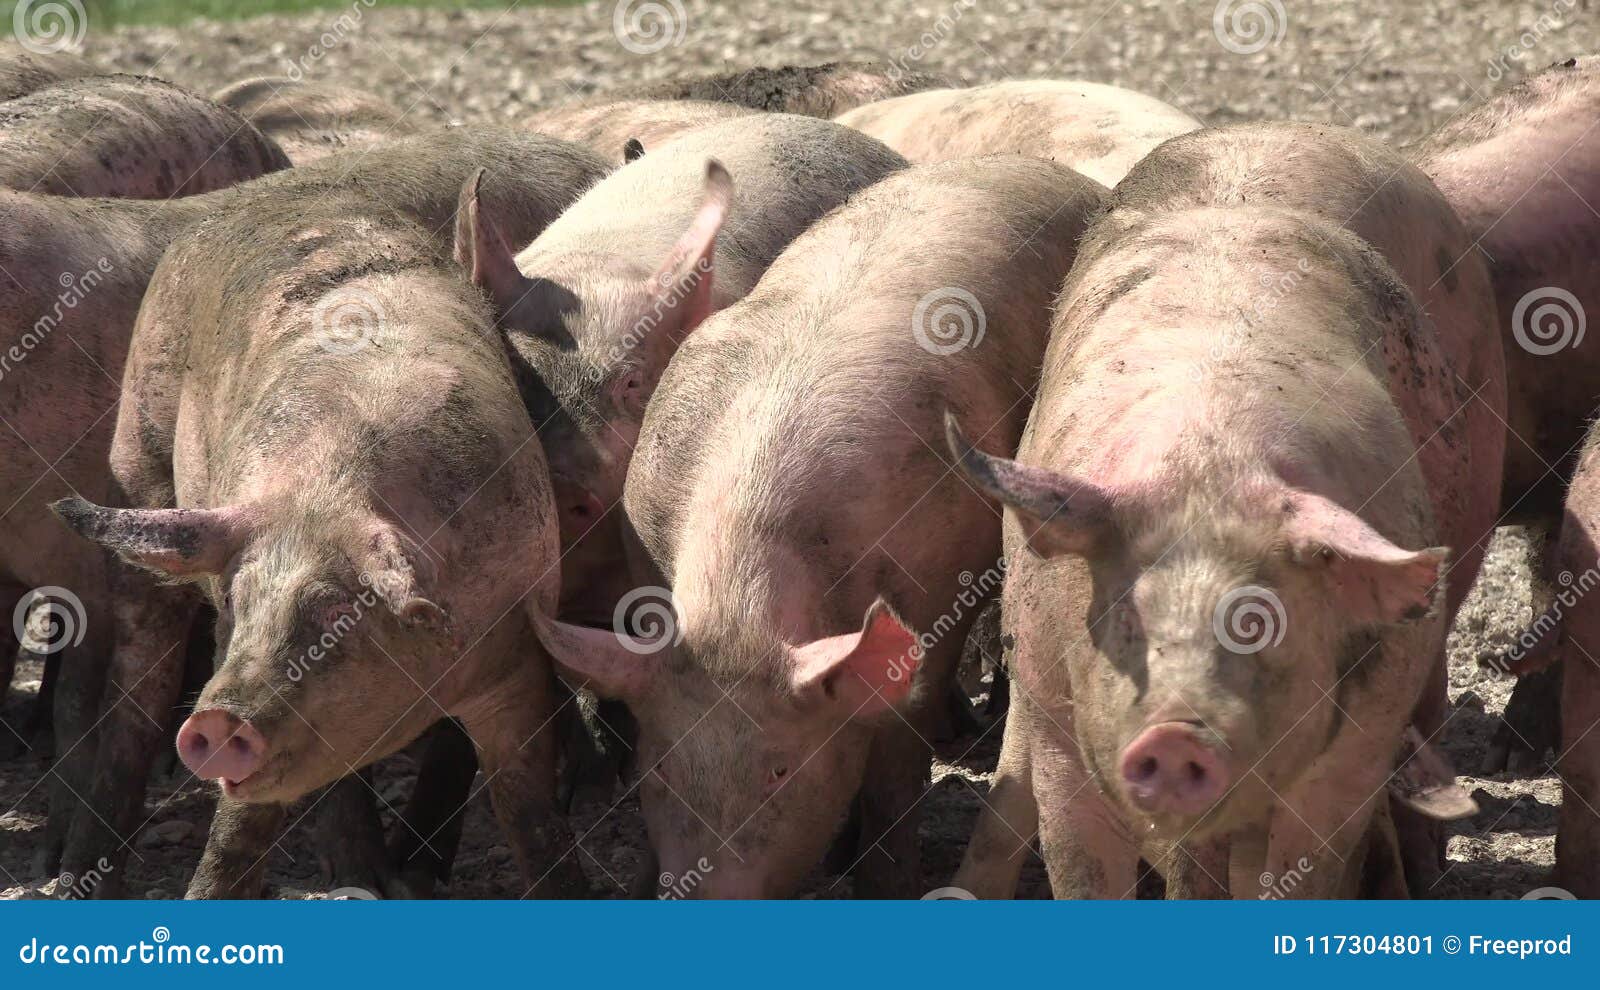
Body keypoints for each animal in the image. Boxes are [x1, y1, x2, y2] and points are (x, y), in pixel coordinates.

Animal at [11, 129, 610, 896]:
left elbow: (528, 815)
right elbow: (238, 829)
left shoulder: (519, 654)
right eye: (239, 603)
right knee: (133, 698)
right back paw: (75, 875)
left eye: (336, 615)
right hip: (141, 460)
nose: (216, 722)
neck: (322, 494)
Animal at [535, 155, 1106, 897]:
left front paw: (883, 881)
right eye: (660, 769)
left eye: (781, 770)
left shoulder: (932, 595)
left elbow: (895, 765)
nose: (693, 894)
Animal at [947, 122, 1503, 898]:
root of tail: (1272, 127)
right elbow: (1082, 864)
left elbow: (1305, 868)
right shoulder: (1056, 717)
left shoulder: (1353, 755)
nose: (1177, 734)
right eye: (1127, 621)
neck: (1207, 467)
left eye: (1258, 626)